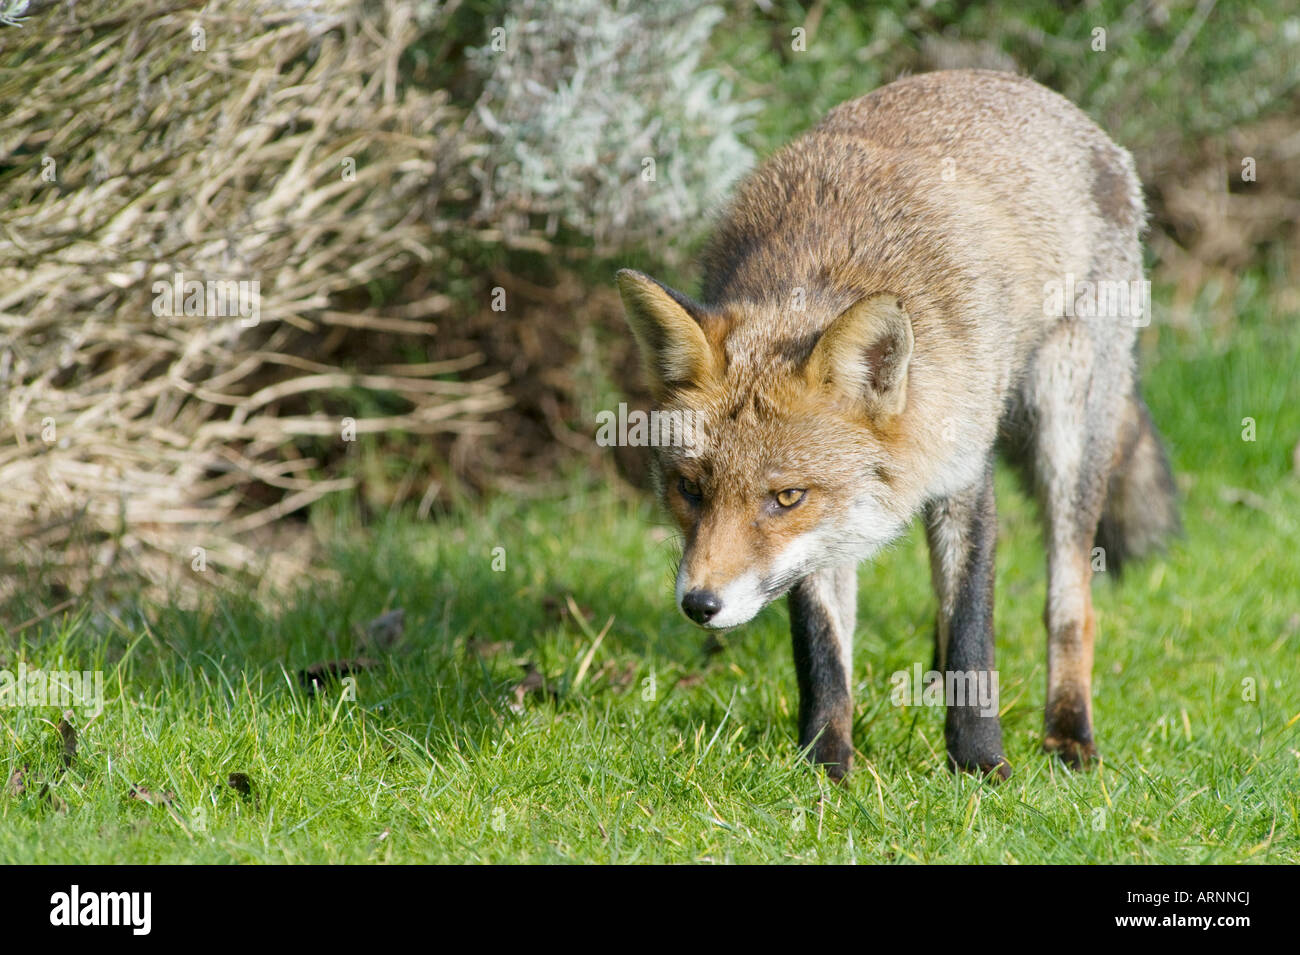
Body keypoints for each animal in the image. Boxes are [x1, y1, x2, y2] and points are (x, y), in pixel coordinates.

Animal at [616, 69, 1179, 781]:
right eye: (689, 490)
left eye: (785, 496)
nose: (699, 604)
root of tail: (1024, 87)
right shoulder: (821, 538)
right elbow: (823, 650)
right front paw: (825, 766)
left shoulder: (965, 480)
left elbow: (973, 633)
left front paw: (980, 765)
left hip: (1067, 431)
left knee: (1071, 605)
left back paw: (1069, 732)